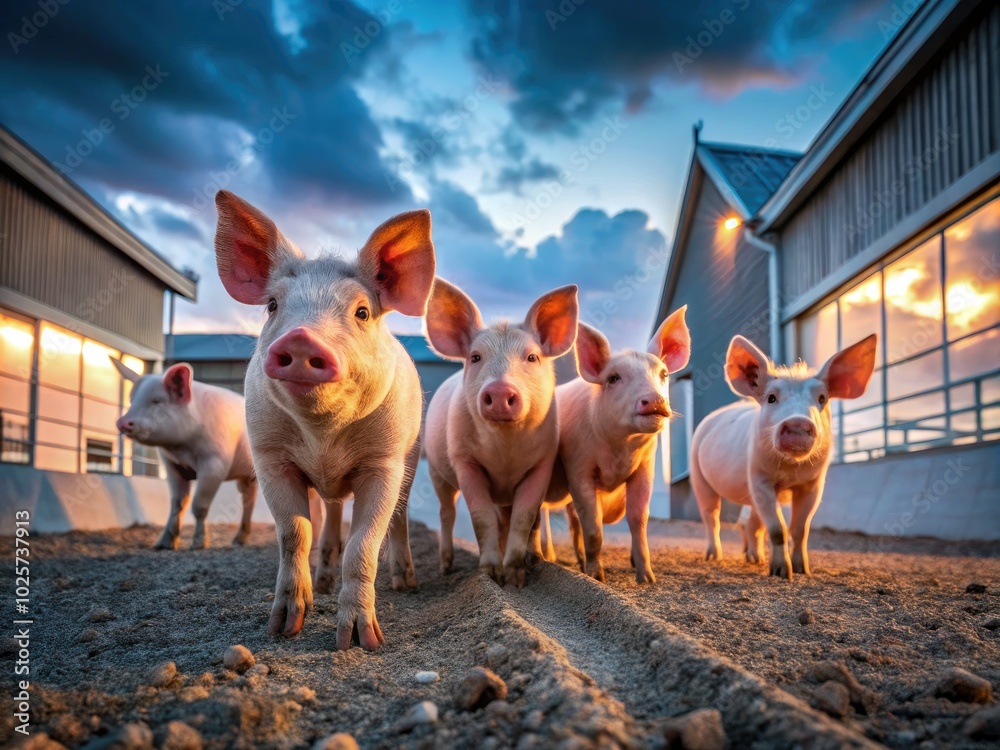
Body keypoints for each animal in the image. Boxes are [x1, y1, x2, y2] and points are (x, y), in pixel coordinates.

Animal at [111, 359, 257, 550]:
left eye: (156, 401)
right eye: (131, 400)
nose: (122, 422)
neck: (181, 448)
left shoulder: (215, 462)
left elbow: (199, 505)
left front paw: (198, 545)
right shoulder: (171, 465)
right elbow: (178, 504)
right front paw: (162, 545)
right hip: (248, 475)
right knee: (248, 497)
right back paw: (239, 541)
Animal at [214, 190, 434, 651]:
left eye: (362, 312)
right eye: (273, 305)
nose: (301, 338)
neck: (323, 437)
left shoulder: (384, 462)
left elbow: (364, 542)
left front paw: (361, 642)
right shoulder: (269, 456)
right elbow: (294, 533)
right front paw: (282, 629)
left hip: (412, 455)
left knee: (400, 518)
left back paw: (406, 584)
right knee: (330, 514)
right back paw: (325, 582)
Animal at [424, 278, 579, 587]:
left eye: (532, 357)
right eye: (475, 357)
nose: (498, 389)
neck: (505, 453)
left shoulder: (542, 463)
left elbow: (525, 517)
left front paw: (516, 579)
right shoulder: (464, 461)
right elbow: (481, 516)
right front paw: (491, 576)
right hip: (436, 470)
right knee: (447, 512)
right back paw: (445, 568)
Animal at [541, 307, 690, 584]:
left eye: (664, 374)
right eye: (613, 378)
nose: (655, 400)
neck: (621, 449)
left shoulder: (645, 467)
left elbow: (638, 517)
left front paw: (647, 579)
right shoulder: (578, 467)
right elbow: (593, 523)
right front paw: (597, 578)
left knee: (572, 521)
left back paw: (578, 562)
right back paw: (549, 558)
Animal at [690, 333, 877, 579]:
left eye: (822, 398)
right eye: (771, 398)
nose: (798, 422)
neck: (790, 470)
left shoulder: (813, 484)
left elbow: (799, 530)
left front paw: (803, 571)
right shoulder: (758, 477)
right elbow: (778, 528)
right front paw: (780, 573)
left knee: (751, 525)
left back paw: (755, 559)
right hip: (698, 473)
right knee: (711, 517)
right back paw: (713, 557)